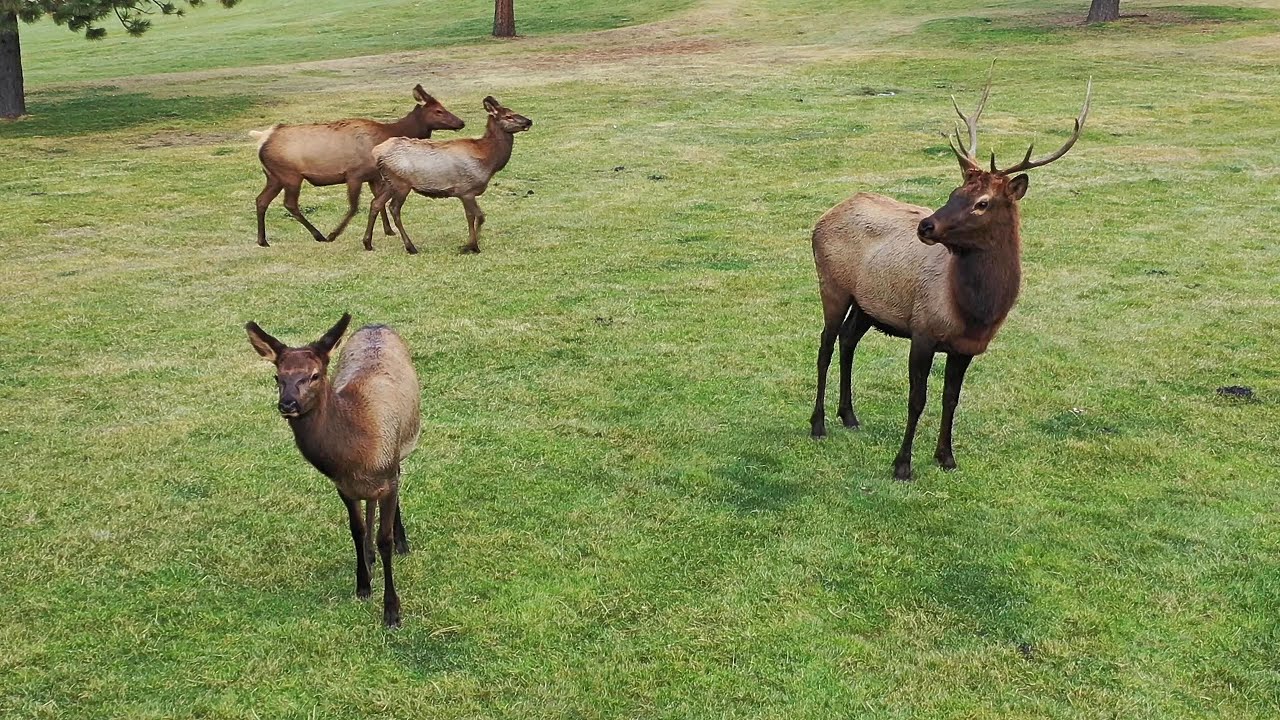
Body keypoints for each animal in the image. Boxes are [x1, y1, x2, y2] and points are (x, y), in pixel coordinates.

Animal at [245, 313, 421, 628]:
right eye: (278, 377)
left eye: (314, 375)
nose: (287, 403)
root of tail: (376, 324)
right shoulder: (343, 487)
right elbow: (356, 530)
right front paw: (363, 585)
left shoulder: (387, 476)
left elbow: (385, 538)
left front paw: (392, 611)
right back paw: (369, 557)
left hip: (402, 448)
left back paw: (401, 543)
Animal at [252, 84, 465, 248]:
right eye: (438, 110)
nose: (461, 122)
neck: (386, 134)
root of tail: (263, 139)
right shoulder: (354, 174)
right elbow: (355, 207)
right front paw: (334, 234)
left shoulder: (374, 175)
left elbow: (379, 202)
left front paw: (388, 230)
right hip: (290, 175)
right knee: (290, 204)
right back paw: (318, 235)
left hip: (273, 176)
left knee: (261, 200)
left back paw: (263, 240)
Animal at [360, 96, 533, 255]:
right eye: (508, 116)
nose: (529, 121)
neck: (488, 161)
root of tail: (377, 152)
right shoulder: (466, 189)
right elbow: (479, 216)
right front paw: (471, 246)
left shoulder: (464, 193)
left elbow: (471, 216)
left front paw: (470, 244)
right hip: (401, 183)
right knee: (394, 208)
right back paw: (410, 247)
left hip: (389, 182)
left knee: (376, 203)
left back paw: (367, 243)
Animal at [809, 71, 1091, 480]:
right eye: (954, 190)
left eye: (982, 202)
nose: (926, 226)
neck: (974, 310)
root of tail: (822, 219)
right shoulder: (923, 330)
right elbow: (917, 399)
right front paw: (903, 464)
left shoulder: (967, 347)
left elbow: (951, 398)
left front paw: (946, 457)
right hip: (832, 284)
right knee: (825, 346)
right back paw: (818, 424)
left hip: (868, 304)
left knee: (848, 341)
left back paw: (849, 416)